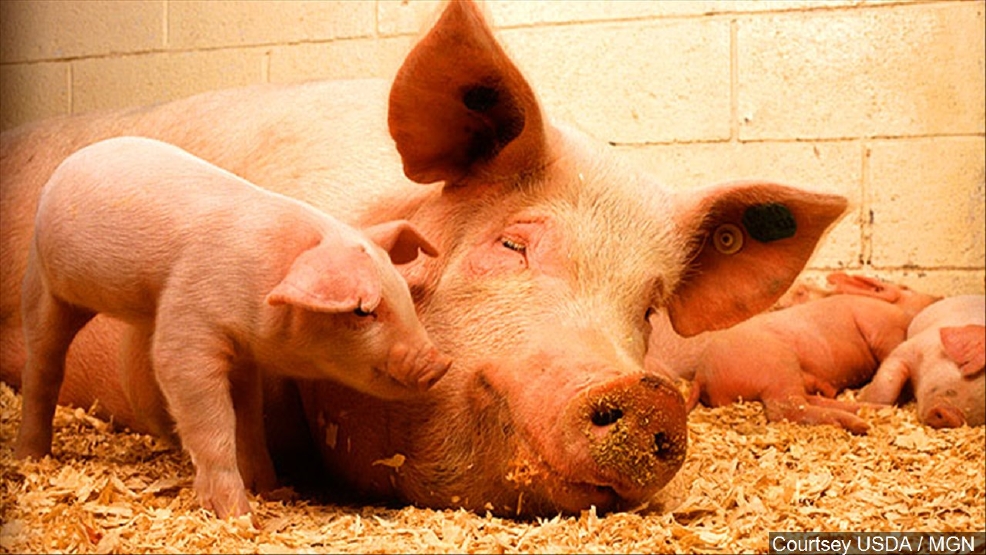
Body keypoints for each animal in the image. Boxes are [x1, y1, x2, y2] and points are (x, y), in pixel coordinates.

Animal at [14, 136, 451, 518]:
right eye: (362, 311)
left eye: (403, 293)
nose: (440, 363)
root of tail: (69, 163)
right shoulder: (188, 324)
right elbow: (211, 418)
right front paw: (239, 515)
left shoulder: (243, 356)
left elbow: (249, 421)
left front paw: (273, 491)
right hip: (45, 284)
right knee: (43, 365)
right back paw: (31, 456)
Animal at [649, 273, 940, 434]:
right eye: (907, 289)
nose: (937, 298)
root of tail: (702, 376)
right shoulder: (881, 325)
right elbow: (889, 349)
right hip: (777, 364)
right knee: (787, 408)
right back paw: (858, 424)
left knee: (807, 400)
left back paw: (868, 413)